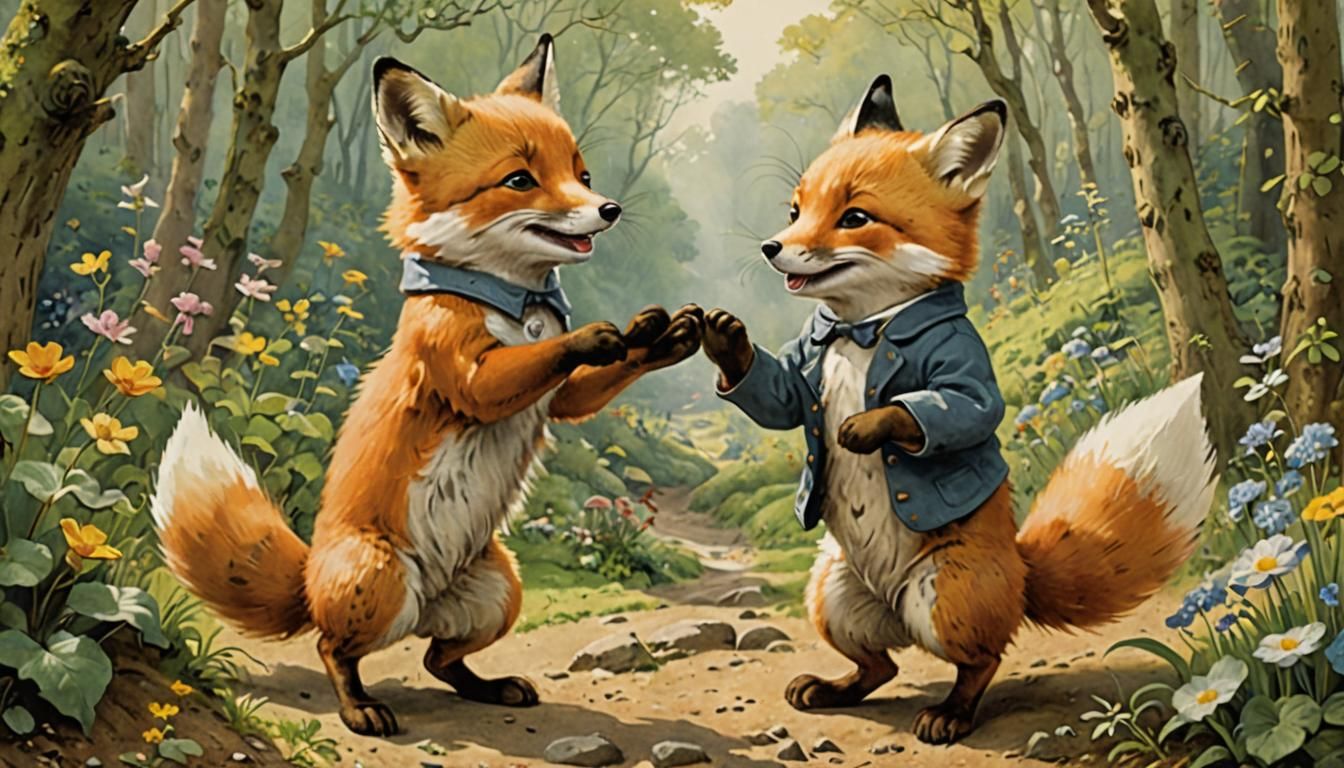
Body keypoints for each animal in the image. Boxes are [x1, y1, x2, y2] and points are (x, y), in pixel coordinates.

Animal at [151, 35, 703, 736]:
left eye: (580, 173)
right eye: (520, 180)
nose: (608, 209)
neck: (515, 300)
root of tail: (308, 579)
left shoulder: (556, 400)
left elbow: (584, 387)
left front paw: (663, 338)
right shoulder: (464, 373)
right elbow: (532, 362)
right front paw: (595, 335)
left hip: (500, 592)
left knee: (440, 661)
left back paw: (490, 687)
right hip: (381, 579)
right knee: (333, 648)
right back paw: (359, 707)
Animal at [701, 75, 1217, 744]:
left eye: (854, 218)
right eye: (795, 211)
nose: (771, 248)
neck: (862, 331)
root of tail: (1021, 572)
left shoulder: (964, 365)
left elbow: (952, 410)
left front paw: (867, 427)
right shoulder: (802, 373)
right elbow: (777, 393)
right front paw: (725, 343)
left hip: (944, 597)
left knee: (984, 660)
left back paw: (950, 714)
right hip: (831, 599)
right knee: (882, 667)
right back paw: (832, 688)